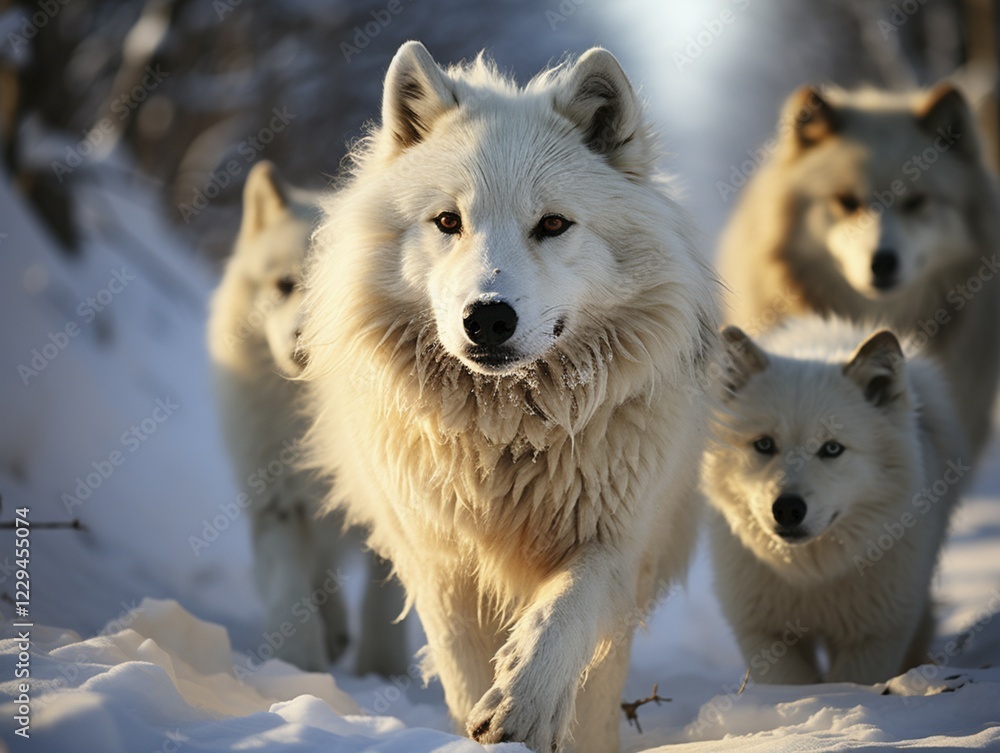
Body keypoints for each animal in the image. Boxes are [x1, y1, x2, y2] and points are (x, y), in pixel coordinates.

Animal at [206, 160, 407, 676]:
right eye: (285, 285)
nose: (307, 345)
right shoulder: (276, 501)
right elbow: (290, 590)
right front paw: (298, 669)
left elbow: (384, 598)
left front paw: (382, 671)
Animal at [300, 42, 719, 752]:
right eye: (448, 221)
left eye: (552, 224)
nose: (488, 318)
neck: (509, 436)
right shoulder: (441, 565)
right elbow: (463, 669)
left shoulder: (615, 542)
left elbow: (563, 618)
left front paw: (524, 707)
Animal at [703, 316, 970, 685]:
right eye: (764, 444)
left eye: (831, 448)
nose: (787, 509)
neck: (813, 577)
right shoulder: (766, 635)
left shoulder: (875, 635)